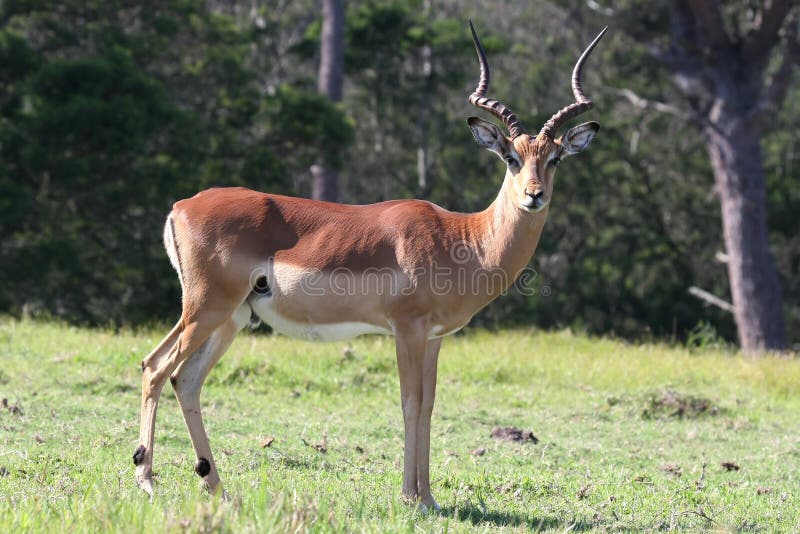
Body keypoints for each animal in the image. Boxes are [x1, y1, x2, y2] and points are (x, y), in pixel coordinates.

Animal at [133, 22, 606, 511]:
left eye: (554, 158)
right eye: (511, 158)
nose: (534, 195)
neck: (462, 238)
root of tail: (182, 206)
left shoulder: (434, 338)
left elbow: (429, 405)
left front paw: (429, 498)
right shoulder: (407, 330)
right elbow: (410, 402)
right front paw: (411, 497)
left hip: (230, 317)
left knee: (184, 379)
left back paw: (215, 485)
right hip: (207, 308)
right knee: (156, 367)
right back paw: (146, 480)